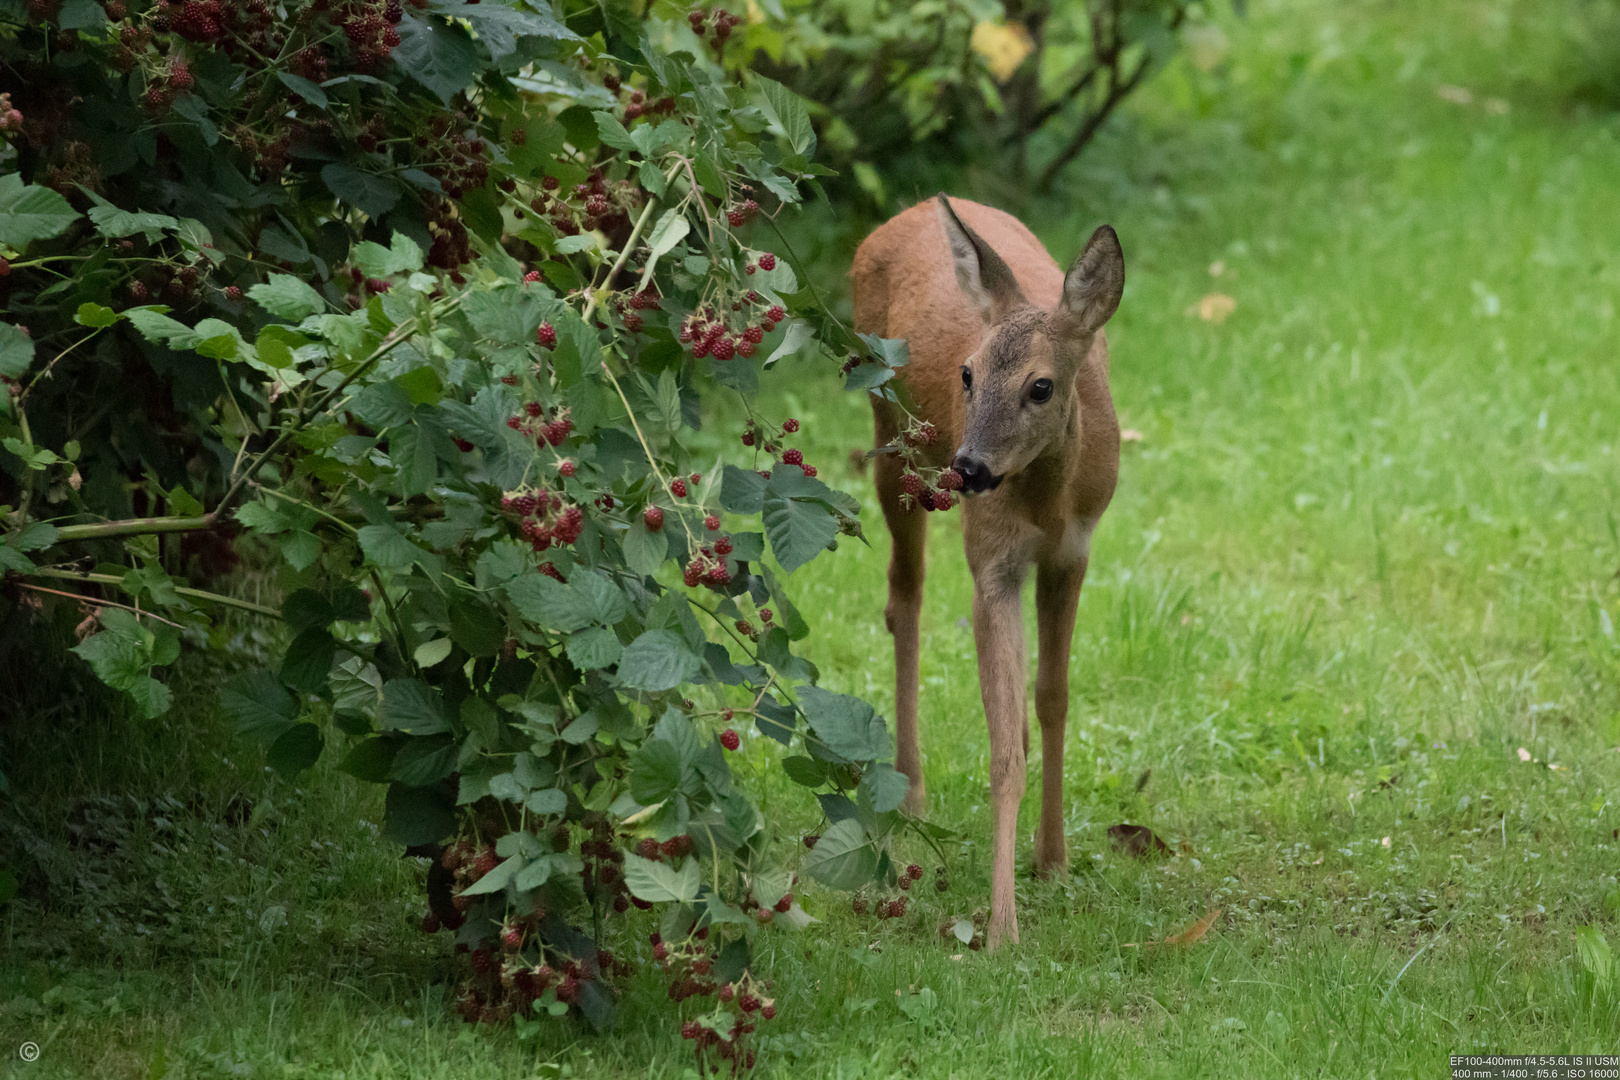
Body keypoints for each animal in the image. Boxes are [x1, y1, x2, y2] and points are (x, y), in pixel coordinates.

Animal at [848, 191, 1127, 945]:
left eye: (1041, 386)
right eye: (967, 374)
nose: (969, 468)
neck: (1049, 503)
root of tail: (908, 211)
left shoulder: (1074, 553)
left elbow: (1052, 700)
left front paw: (1052, 859)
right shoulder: (991, 560)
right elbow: (1004, 743)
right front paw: (1002, 925)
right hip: (890, 434)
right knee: (904, 596)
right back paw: (910, 790)